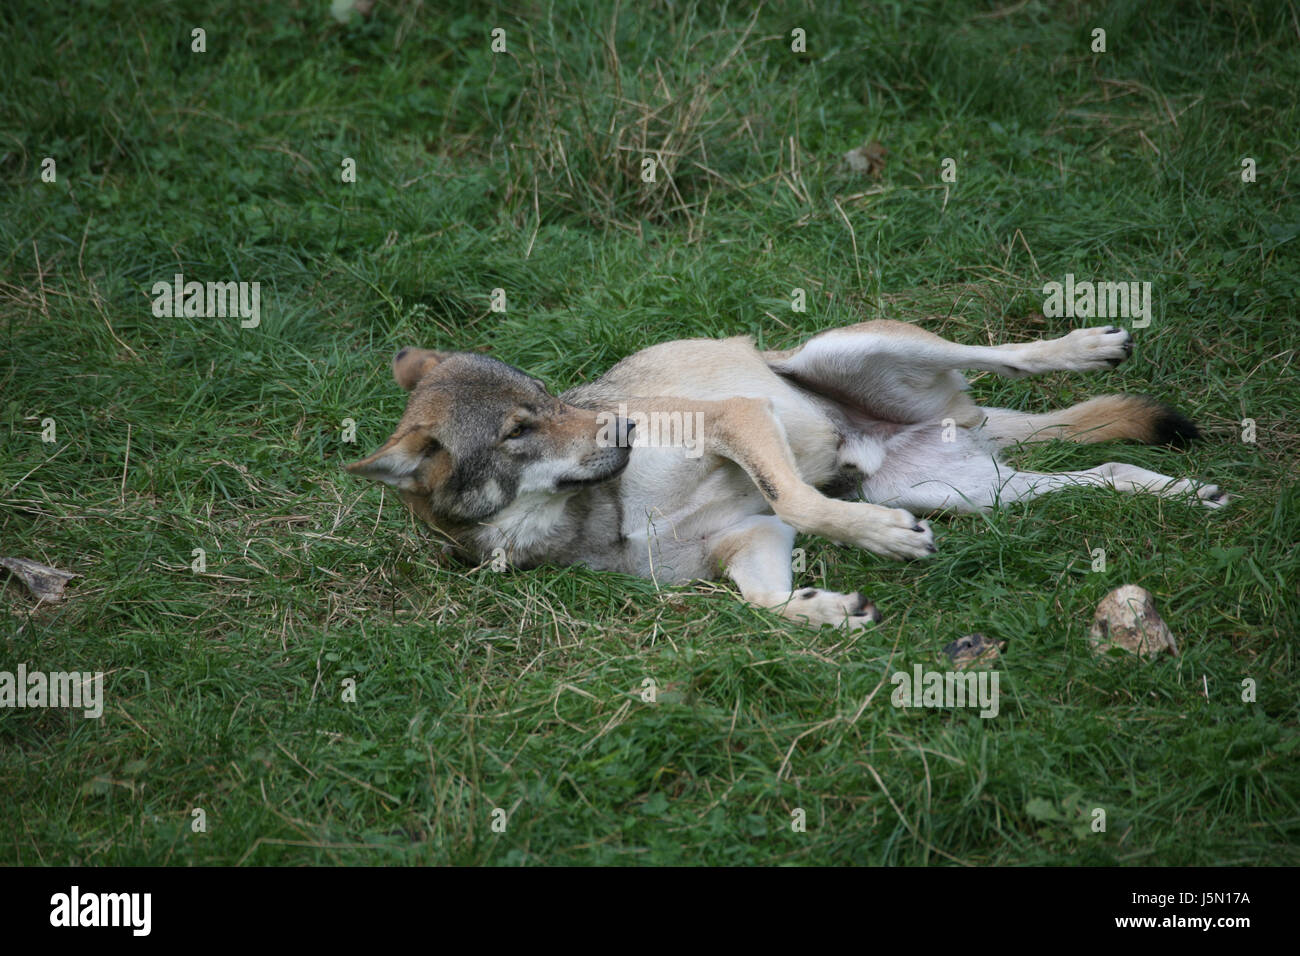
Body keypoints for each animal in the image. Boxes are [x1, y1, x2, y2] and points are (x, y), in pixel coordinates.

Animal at [346, 321, 1226, 628]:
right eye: (520, 429)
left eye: (552, 398)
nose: (623, 427)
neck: (601, 515)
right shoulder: (751, 537)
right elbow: (766, 603)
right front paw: (829, 608)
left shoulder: (738, 419)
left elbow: (800, 498)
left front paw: (882, 545)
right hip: (972, 492)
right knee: (1106, 465)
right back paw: (1186, 493)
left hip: (846, 349)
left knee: (1005, 353)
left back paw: (1088, 346)